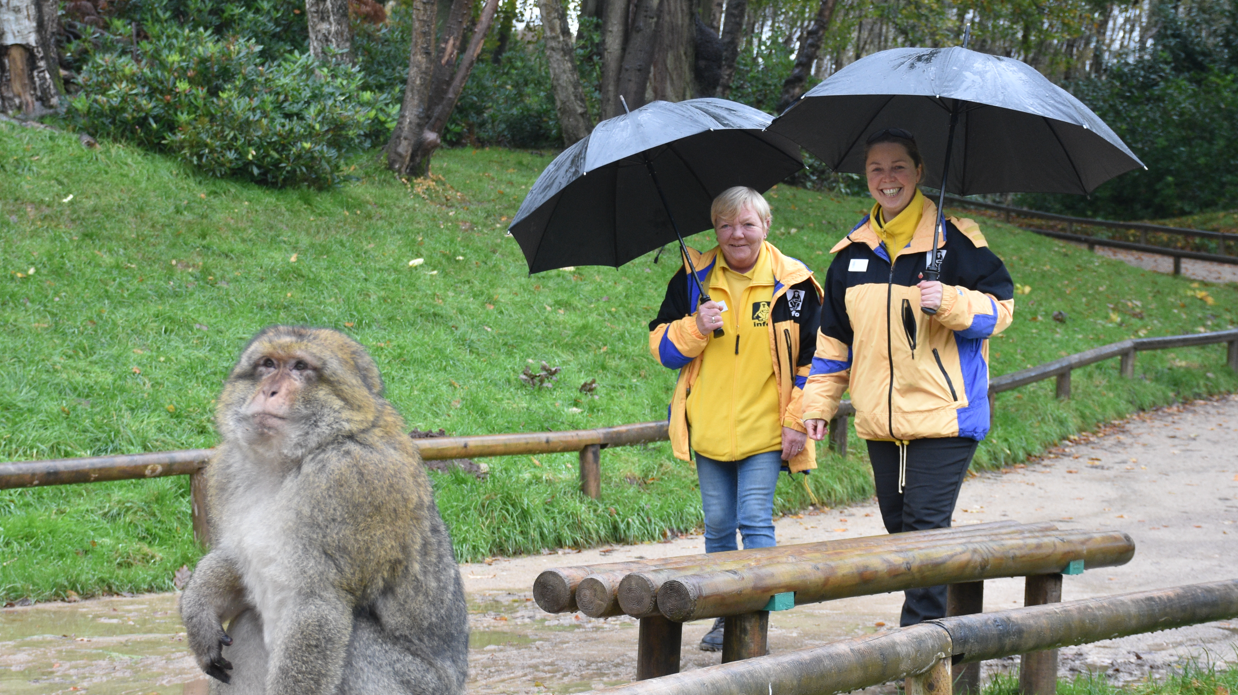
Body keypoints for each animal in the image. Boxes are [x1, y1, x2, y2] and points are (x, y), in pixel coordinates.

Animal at [179, 326, 469, 694]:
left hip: (423, 684)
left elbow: (318, 604)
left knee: (354, 642)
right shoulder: (227, 472)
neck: (295, 458)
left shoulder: (346, 484)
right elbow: (238, 558)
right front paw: (199, 606)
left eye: (300, 367)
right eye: (268, 364)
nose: (269, 390)